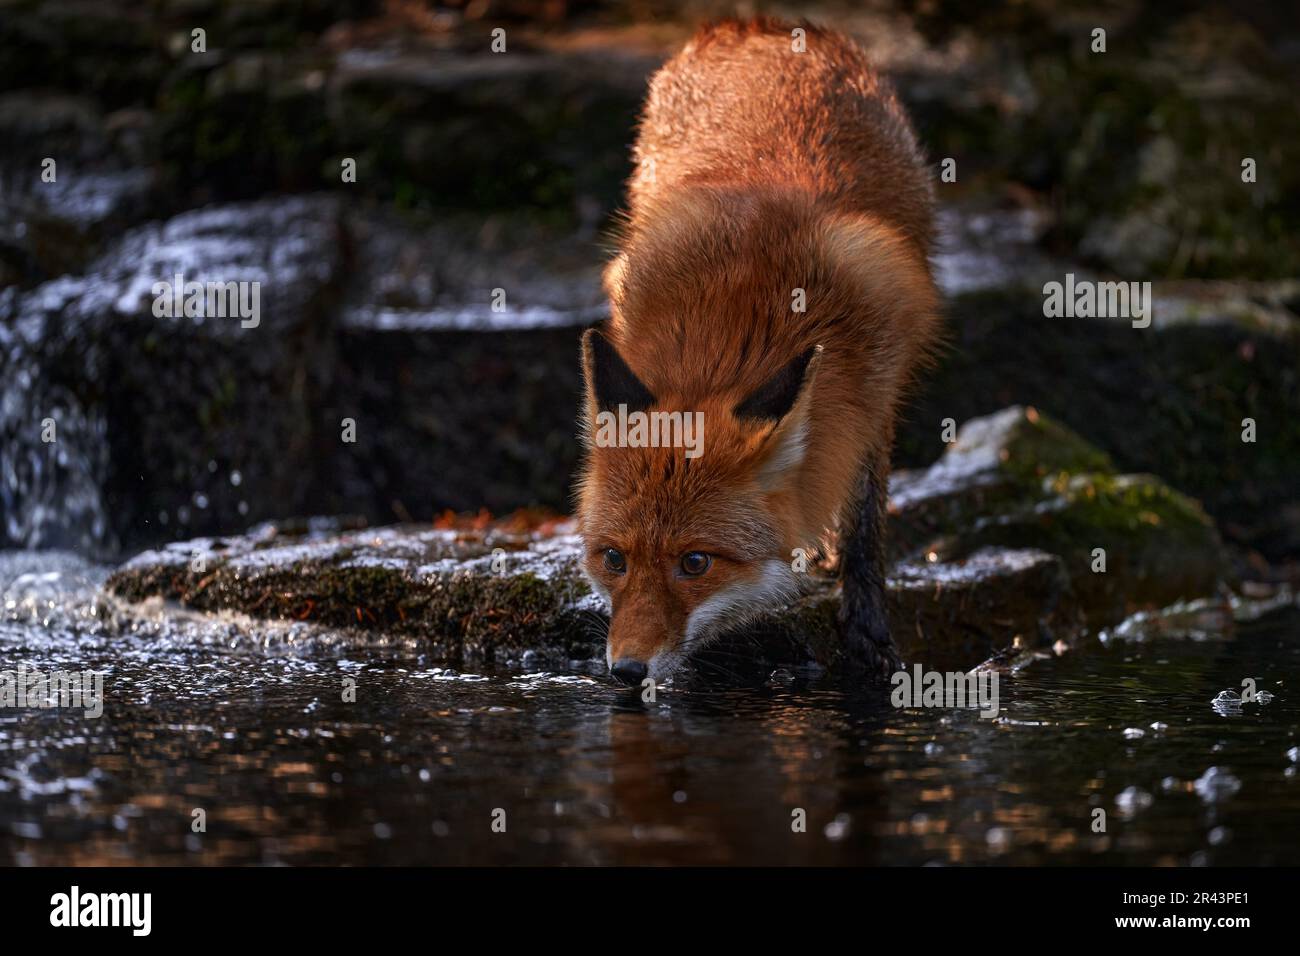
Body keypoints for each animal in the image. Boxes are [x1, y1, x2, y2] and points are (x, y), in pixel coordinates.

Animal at [576, 17, 942, 686]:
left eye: (696, 563)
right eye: (613, 558)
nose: (627, 672)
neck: (738, 331)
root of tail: (757, 26)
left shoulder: (876, 387)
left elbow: (866, 521)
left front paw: (867, 624)